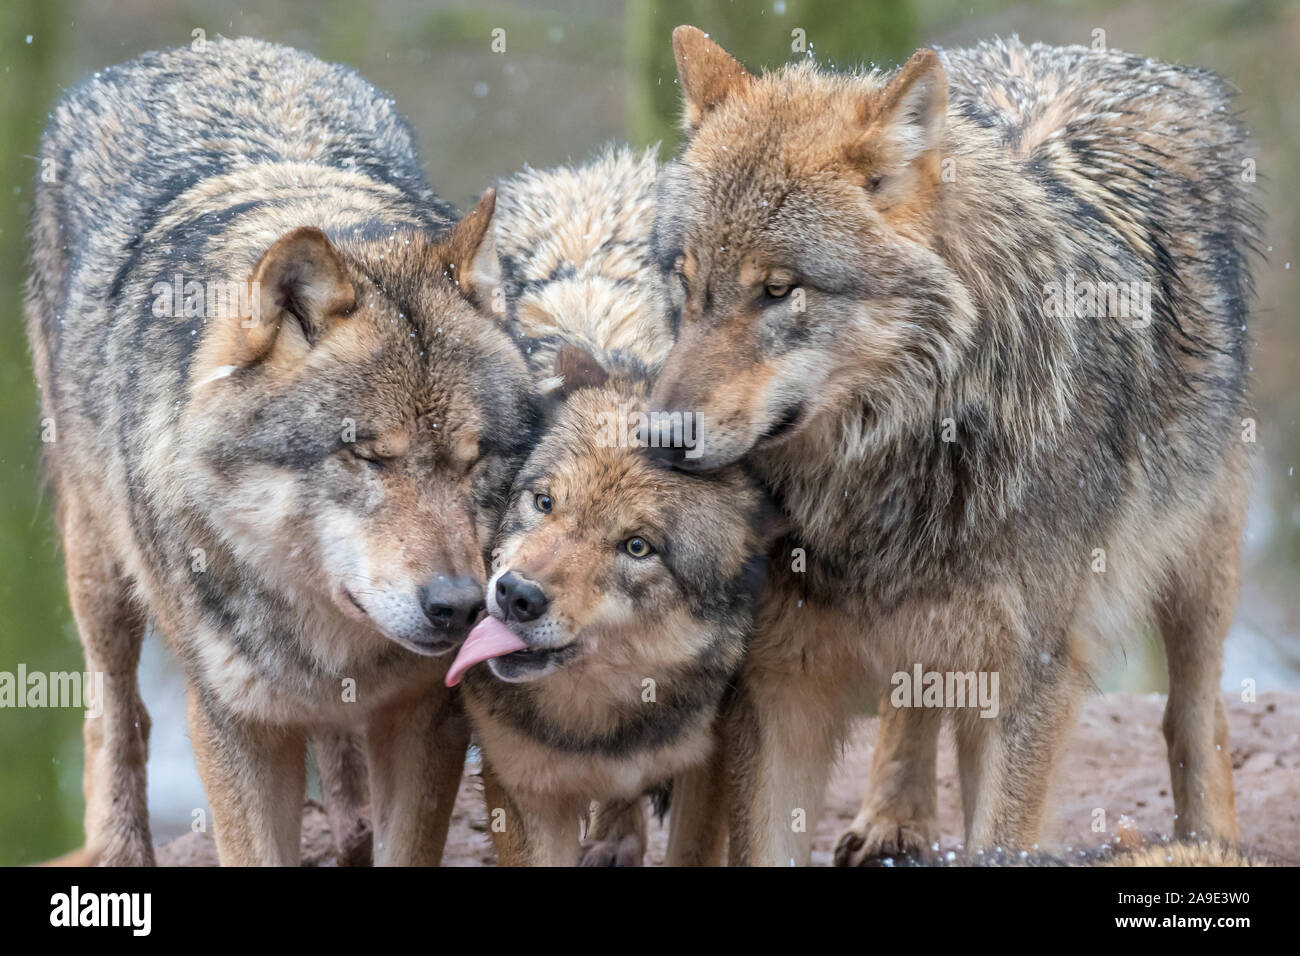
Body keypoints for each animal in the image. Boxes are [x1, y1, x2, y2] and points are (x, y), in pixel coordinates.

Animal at [27, 38, 535, 865]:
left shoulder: (427, 711)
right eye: (368, 456)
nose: (458, 605)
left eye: (474, 460)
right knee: (115, 716)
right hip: (98, 571)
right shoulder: (236, 723)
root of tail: (208, 48)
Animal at [442, 149, 773, 866]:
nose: (515, 595)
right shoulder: (522, 788)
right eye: (541, 502)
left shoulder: (709, 770)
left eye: (637, 546)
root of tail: (596, 170)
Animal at [649, 27, 1260, 866]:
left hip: (1201, 565)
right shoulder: (776, 682)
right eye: (685, 283)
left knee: (1196, 715)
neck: (887, 469)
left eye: (779, 290)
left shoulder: (1031, 679)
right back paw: (893, 818)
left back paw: (1211, 840)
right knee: (913, 706)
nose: (657, 437)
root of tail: (1073, 50)